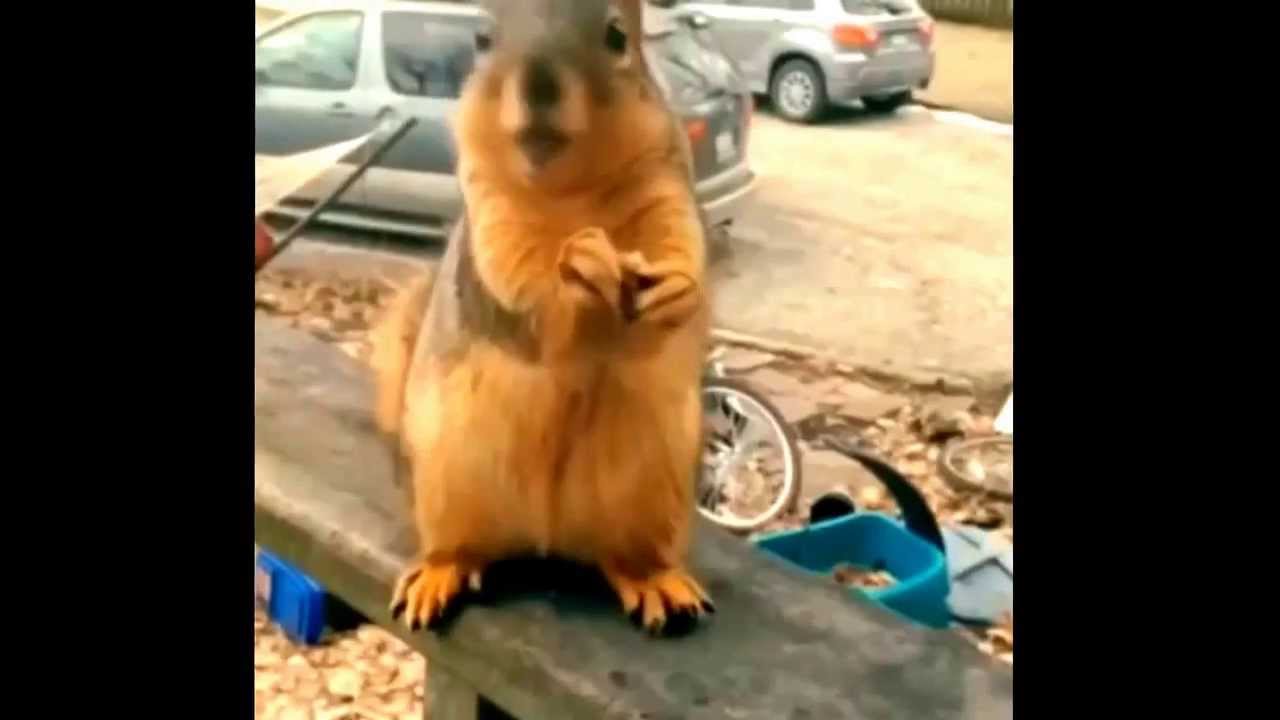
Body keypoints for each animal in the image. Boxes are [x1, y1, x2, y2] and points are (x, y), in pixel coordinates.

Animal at [369, 0, 713, 636]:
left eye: (617, 36)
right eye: (482, 39)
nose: (539, 83)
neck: (569, 192)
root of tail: (548, 537)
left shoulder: (668, 184)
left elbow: (680, 246)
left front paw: (678, 289)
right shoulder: (490, 221)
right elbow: (525, 285)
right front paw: (577, 268)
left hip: (657, 494)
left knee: (627, 554)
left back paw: (654, 579)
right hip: (443, 479)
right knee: (459, 546)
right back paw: (439, 572)